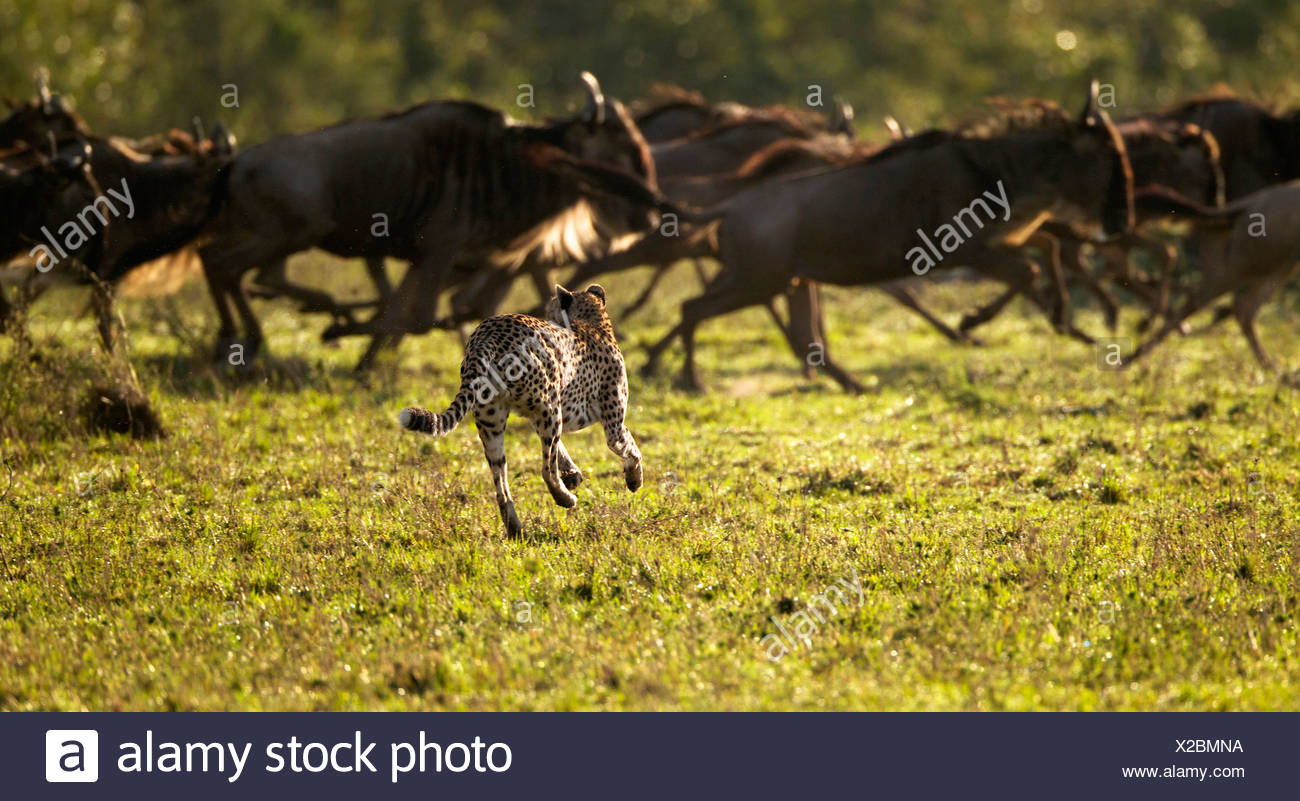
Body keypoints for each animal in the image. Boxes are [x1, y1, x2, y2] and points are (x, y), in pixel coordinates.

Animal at [398, 283, 643, 536]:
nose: (547, 316)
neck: (592, 320)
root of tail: (487, 332)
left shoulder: (537, 414)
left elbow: (561, 449)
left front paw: (572, 474)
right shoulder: (612, 425)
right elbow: (631, 448)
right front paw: (634, 480)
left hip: (492, 421)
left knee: (501, 481)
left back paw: (515, 528)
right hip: (549, 406)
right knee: (546, 469)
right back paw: (565, 499)